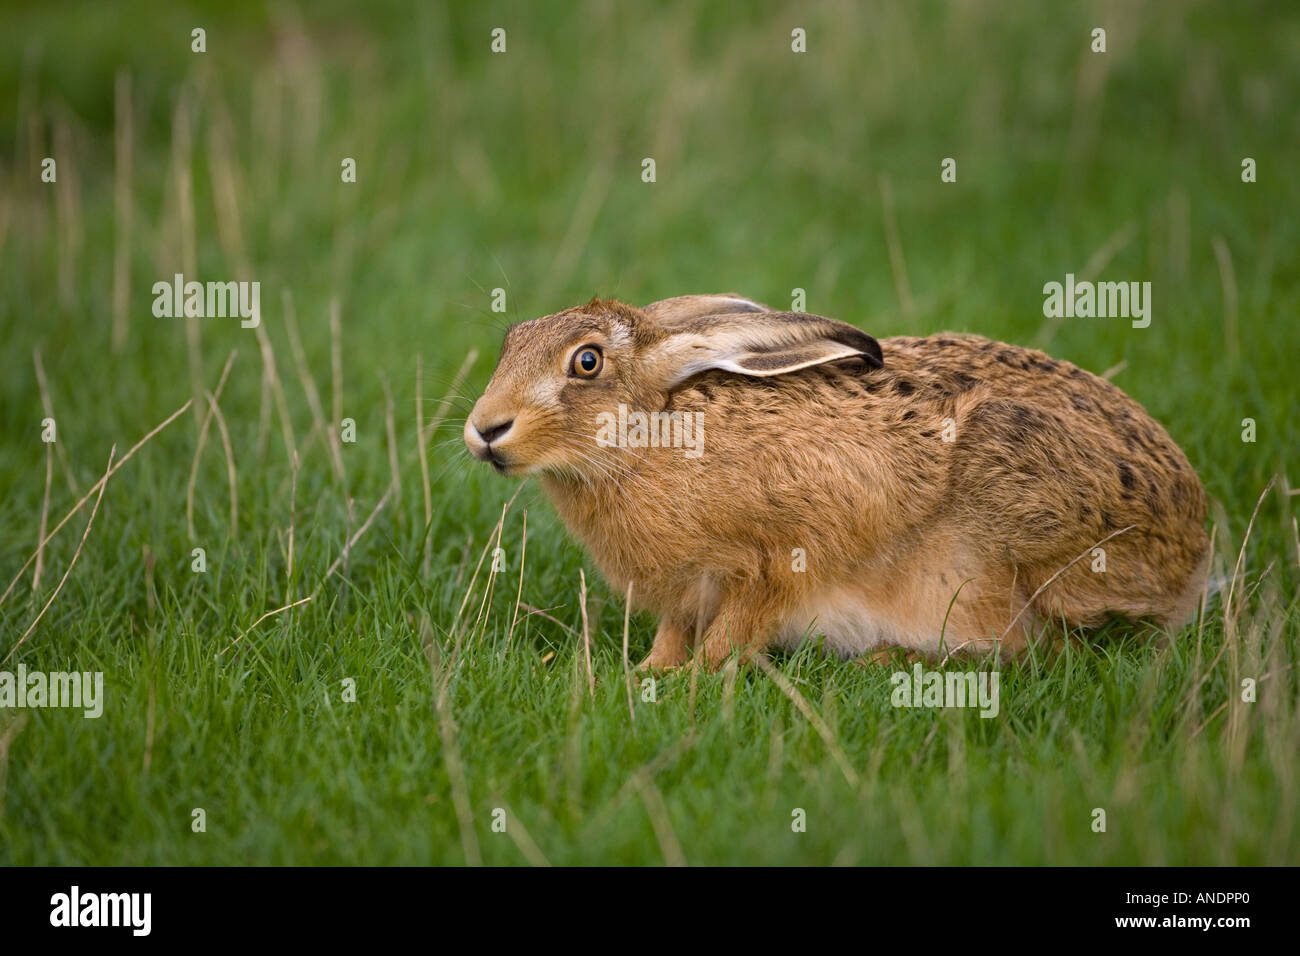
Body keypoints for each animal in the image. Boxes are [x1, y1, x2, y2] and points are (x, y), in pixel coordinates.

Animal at [464, 293, 1210, 671]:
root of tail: (1194, 547)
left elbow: (734, 632)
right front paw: (650, 673)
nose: (485, 430)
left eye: (586, 362)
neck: (648, 433)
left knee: (1047, 650)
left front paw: (691, 682)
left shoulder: (772, 564)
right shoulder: (685, 592)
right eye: (512, 338)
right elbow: (675, 631)